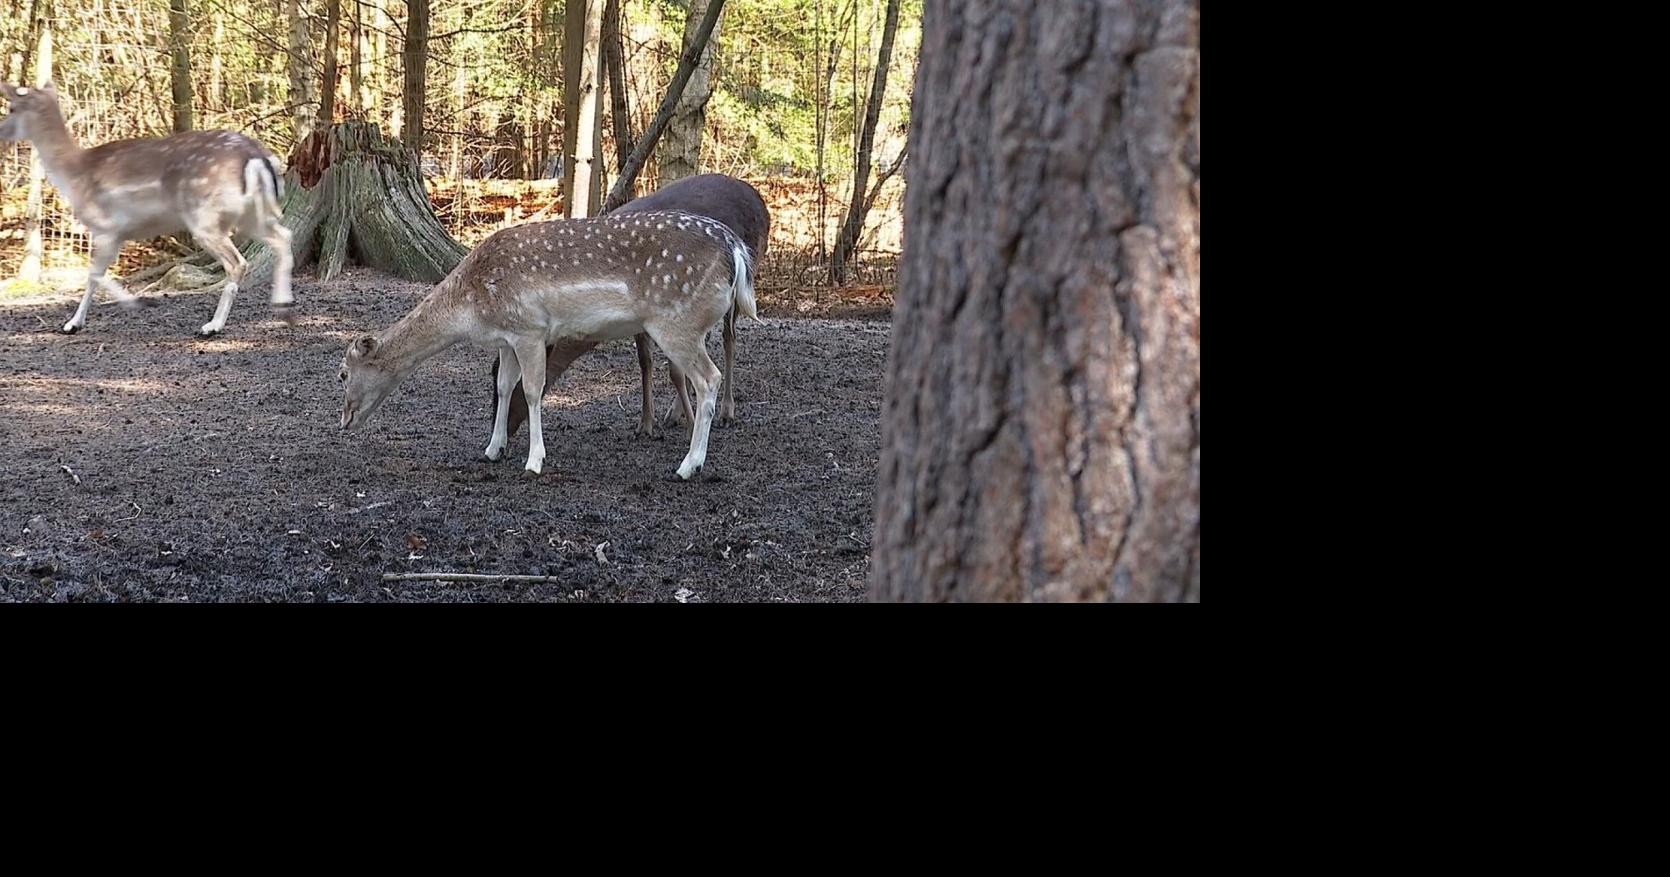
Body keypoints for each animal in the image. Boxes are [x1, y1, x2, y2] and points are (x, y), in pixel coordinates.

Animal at [0, 82, 293, 337]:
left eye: (12, 107)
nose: (2, 131)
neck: (73, 175)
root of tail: (258, 157)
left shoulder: (105, 227)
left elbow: (94, 274)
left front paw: (84, 319)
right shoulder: (116, 234)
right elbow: (96, 275)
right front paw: (76, 322)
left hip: (205, 218)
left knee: (238, 262)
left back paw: (212, 326)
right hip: (251, 214)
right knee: (283, 237)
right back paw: (283, 305)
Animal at [339, 210, 759, 481]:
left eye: (342, 374)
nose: (343, 421)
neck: (472, 307)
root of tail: (737, 251)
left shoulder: (530, 328)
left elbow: (533, 390)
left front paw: (534, 461)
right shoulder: (508, 337)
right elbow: (503, 386)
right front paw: (493, 449)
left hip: (677, 323)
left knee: (709, 378)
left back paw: (689, 466)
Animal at [491, 174, 771, 441]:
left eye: (515, 381)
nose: (503, 428)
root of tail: (758, 197)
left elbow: (674, 371)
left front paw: (690, 424)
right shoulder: (640, 319)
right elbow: (645, 362)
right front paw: (646, 424)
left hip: (742, 280)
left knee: (728, 338)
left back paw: (726, 411)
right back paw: (676, 413)